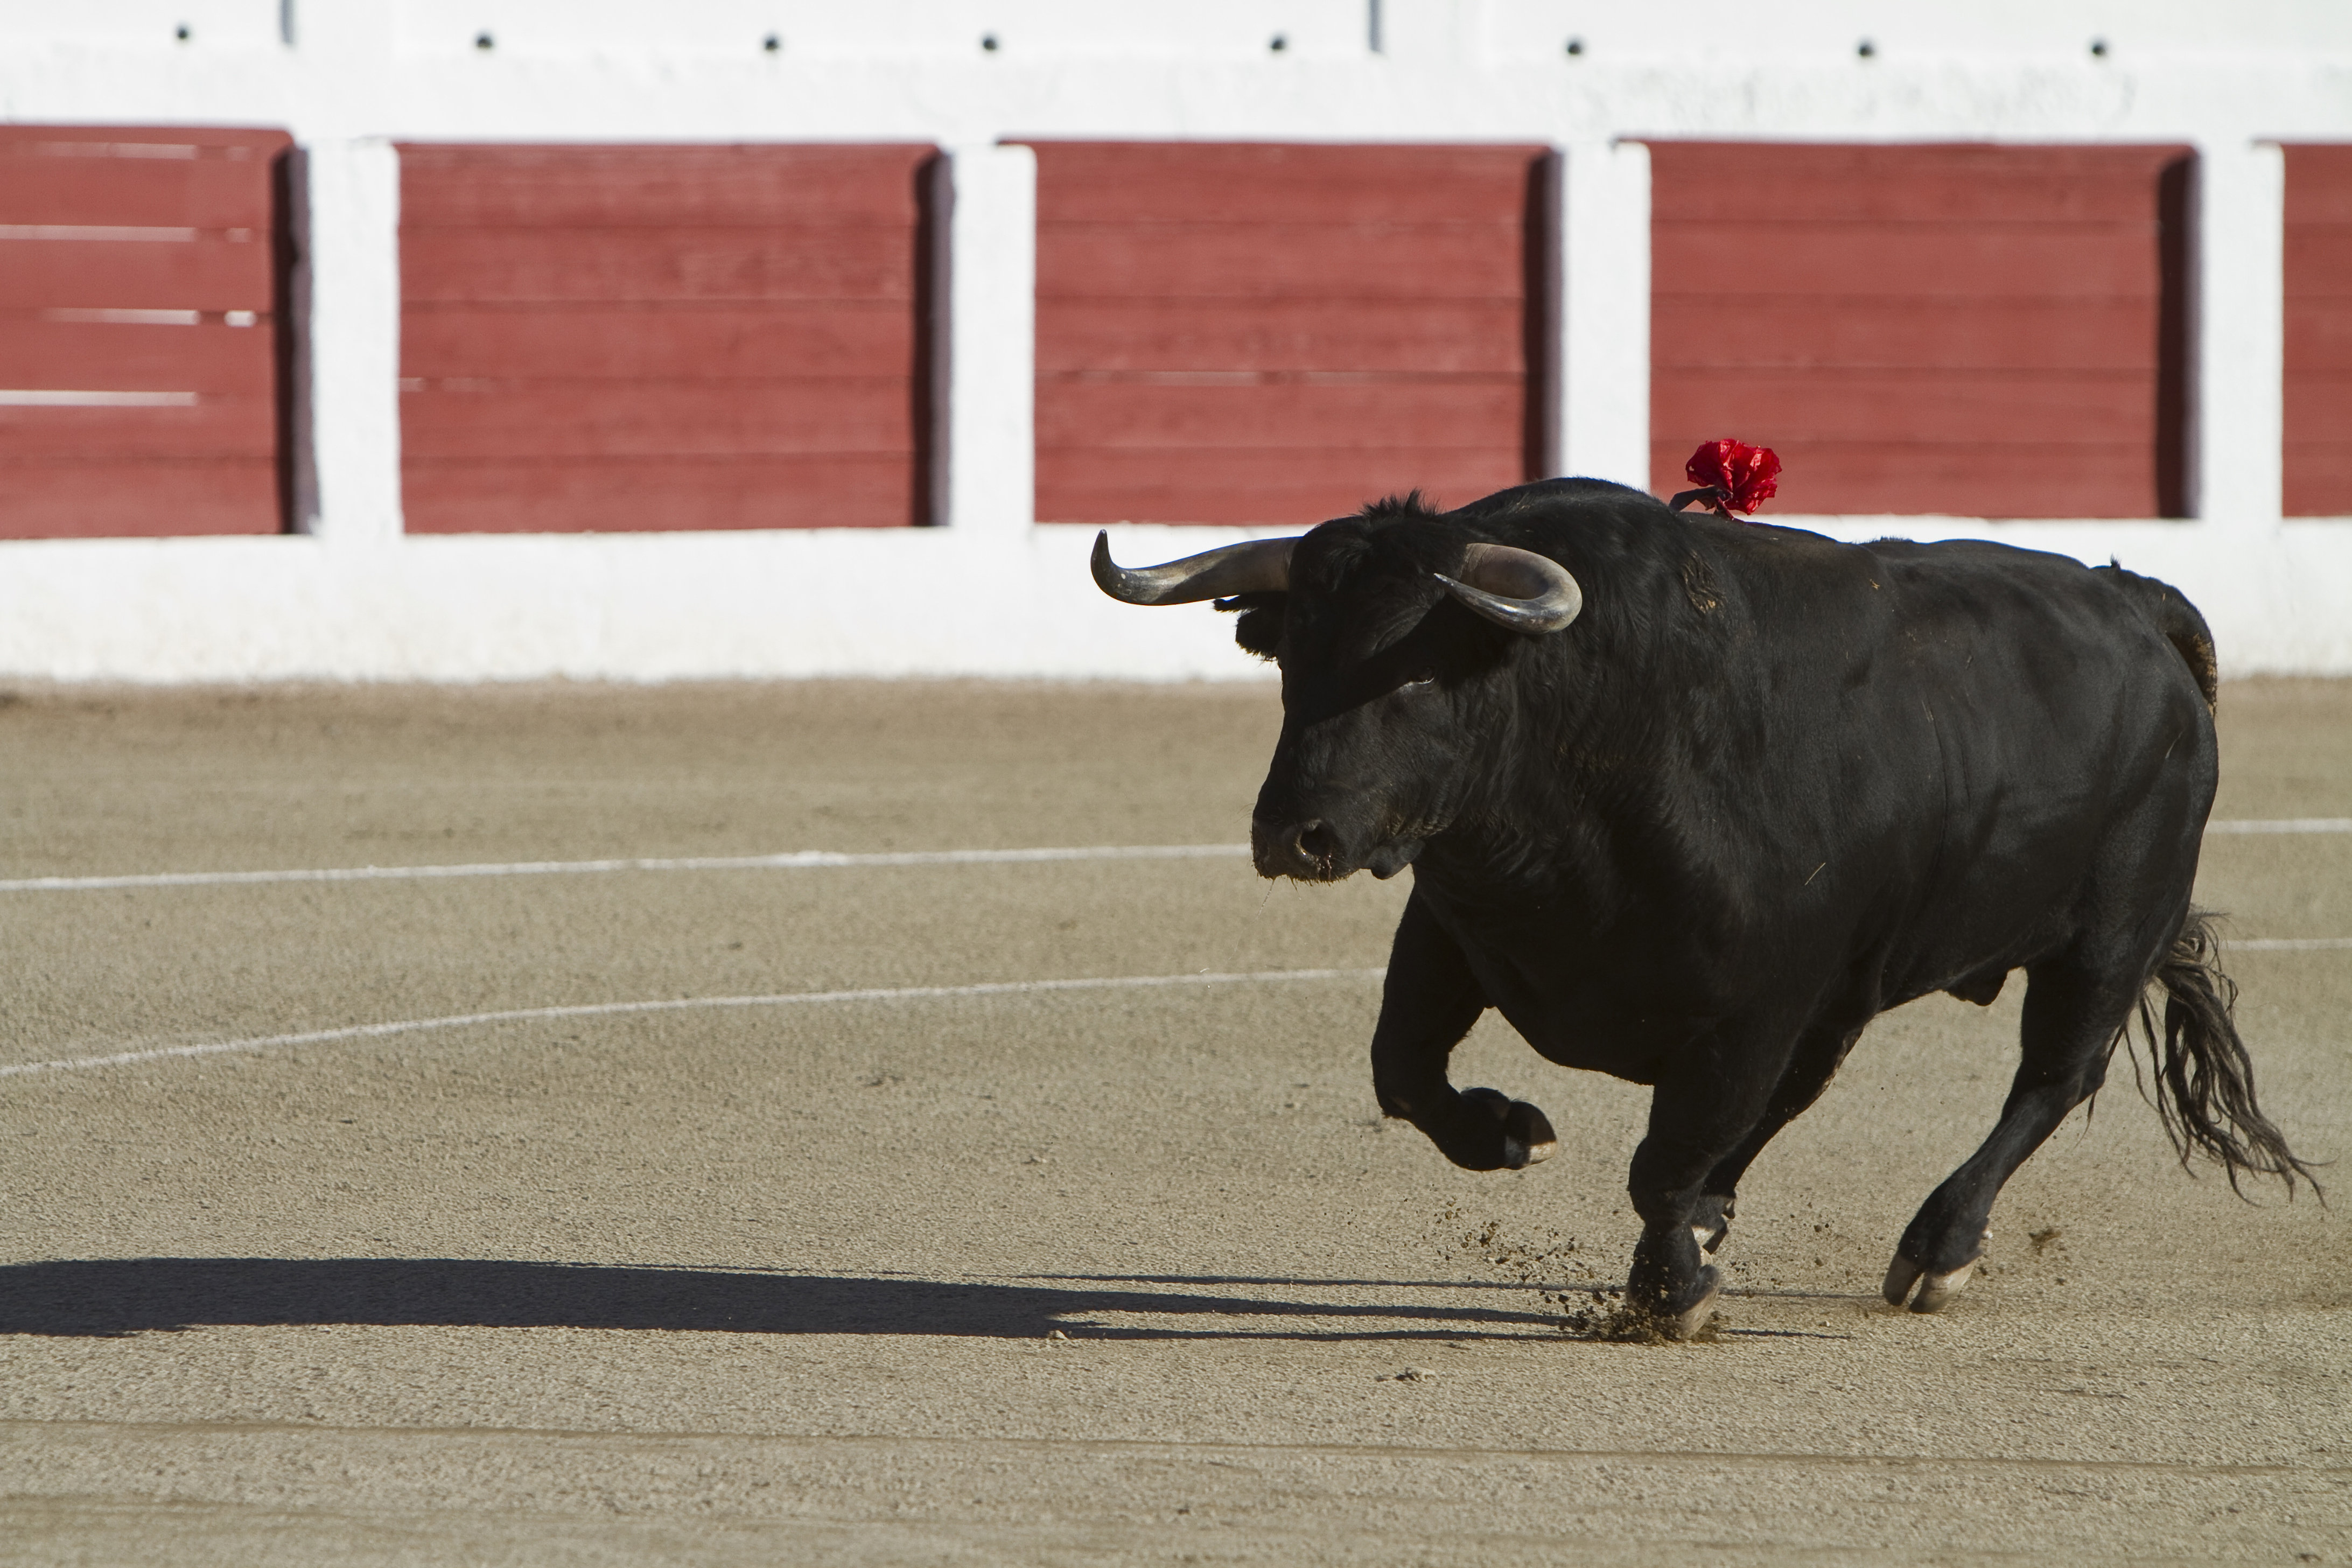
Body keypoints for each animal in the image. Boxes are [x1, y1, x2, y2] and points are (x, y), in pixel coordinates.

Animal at [1091, 477, 2314, 1338]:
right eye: (1290, 660)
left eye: (1418, 669)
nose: (1293, 835)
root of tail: (2133, 600)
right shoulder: (1450, 931)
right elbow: (1405, 1072)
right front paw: (1514, 1133)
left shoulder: (1758, 999)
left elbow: (1666, 1154)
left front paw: (1669, 1292)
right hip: (1864, 979)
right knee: (1802, 1099)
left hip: (2107, 934)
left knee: (2053, 1076)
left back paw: (1936, 1249)